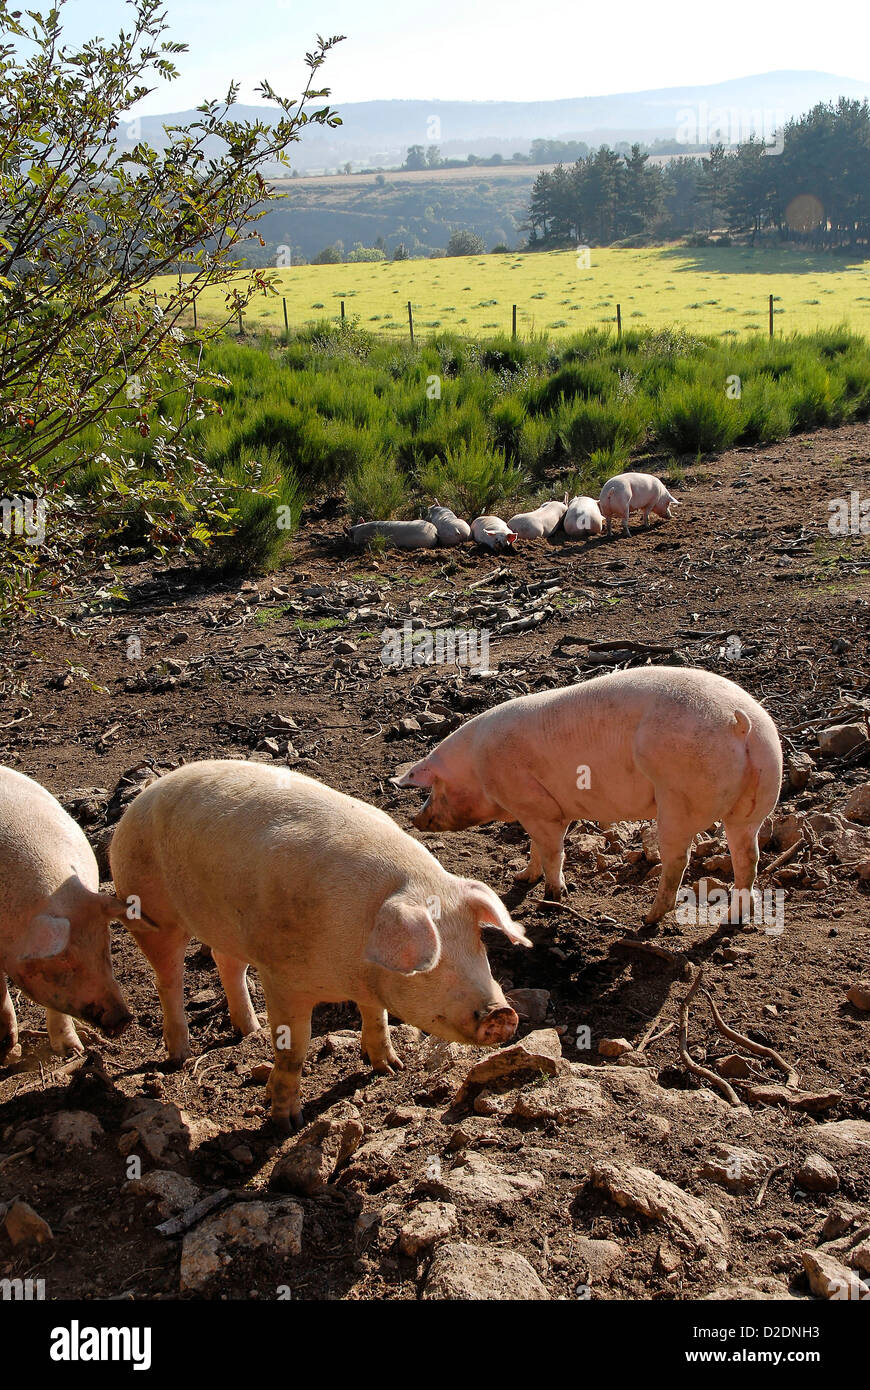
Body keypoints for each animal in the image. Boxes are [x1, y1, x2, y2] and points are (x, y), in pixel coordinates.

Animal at [109, 761, 530, 1129]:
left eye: (478, 945)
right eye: (431, 963)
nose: (501, 1014)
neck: (355, 963)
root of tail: (140, 800)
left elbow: (376, 1016)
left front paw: (391, 1067)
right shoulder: (282, 979)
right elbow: (293, 1051)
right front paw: (286, 1123)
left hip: (225, 925)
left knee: (226, 961)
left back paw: (251, 1030)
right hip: (148, 910)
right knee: (168, 978)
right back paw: (179, 1055)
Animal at [393, 666, 782, 927]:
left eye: (435, 788)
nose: (416, 819)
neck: (477, 768)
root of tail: (739, 722)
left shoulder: (540, 807)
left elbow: (552, 852)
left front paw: (553, 899)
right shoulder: (537, 811)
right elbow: (534, 848)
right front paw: (520, 879)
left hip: (679, 798)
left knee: (678, 860)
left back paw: (648, 919)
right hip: (758, 799)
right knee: (749, 857)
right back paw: (732, 919)